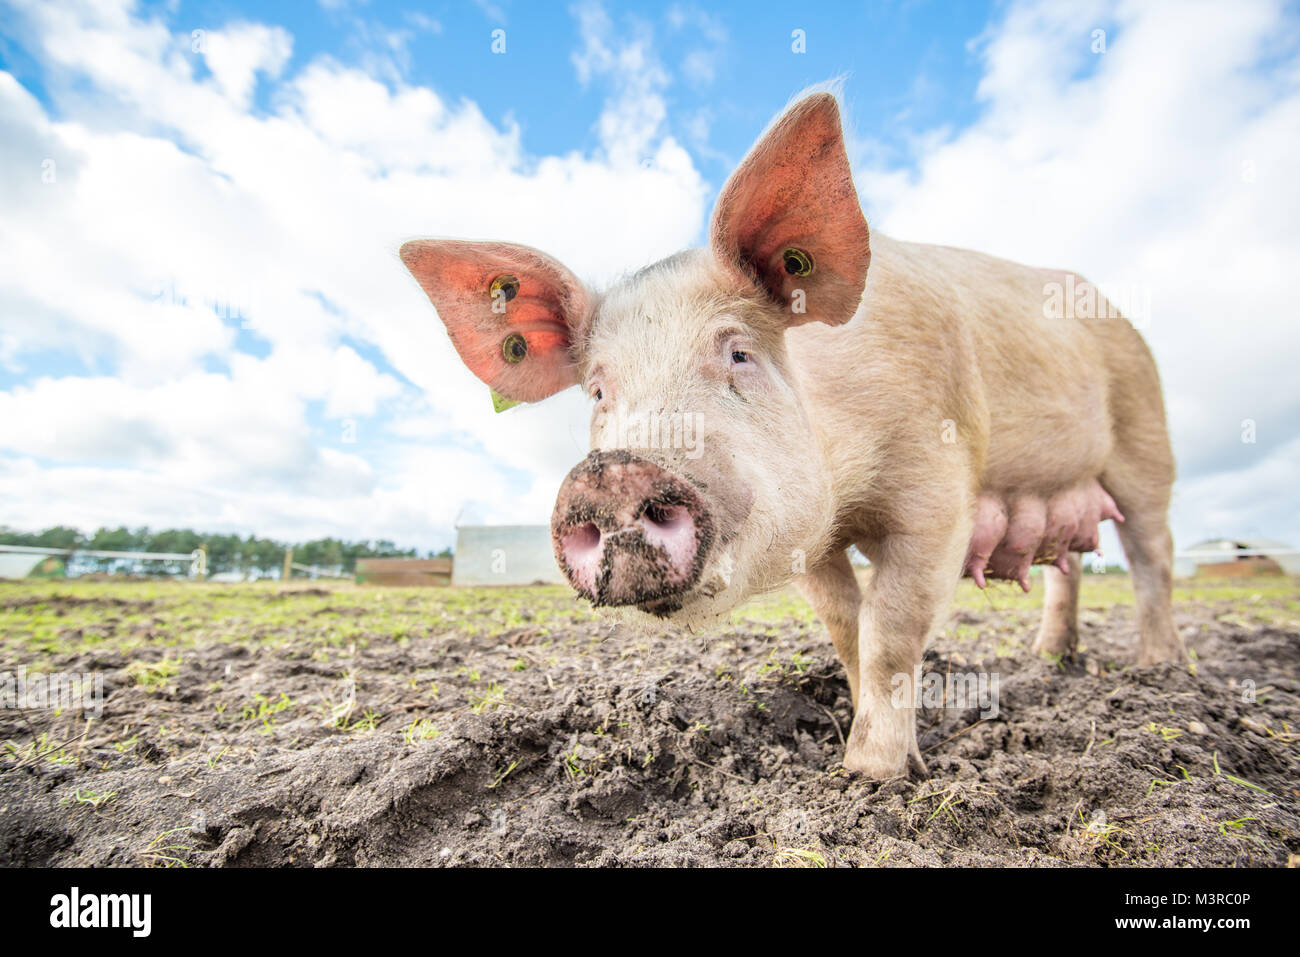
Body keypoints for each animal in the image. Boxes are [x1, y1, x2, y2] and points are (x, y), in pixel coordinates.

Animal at [399, 92, 1186, 779]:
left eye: (739, 353)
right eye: (596, 390)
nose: (612, 472)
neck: (849, 485)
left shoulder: (937, 491)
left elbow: (892, 631)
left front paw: (870, 777)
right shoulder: (811, 538)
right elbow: (846, 627)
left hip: (1146, 440)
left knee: (1153, 555)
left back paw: (1160, 671)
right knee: (1069, 565)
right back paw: (1051, 660)